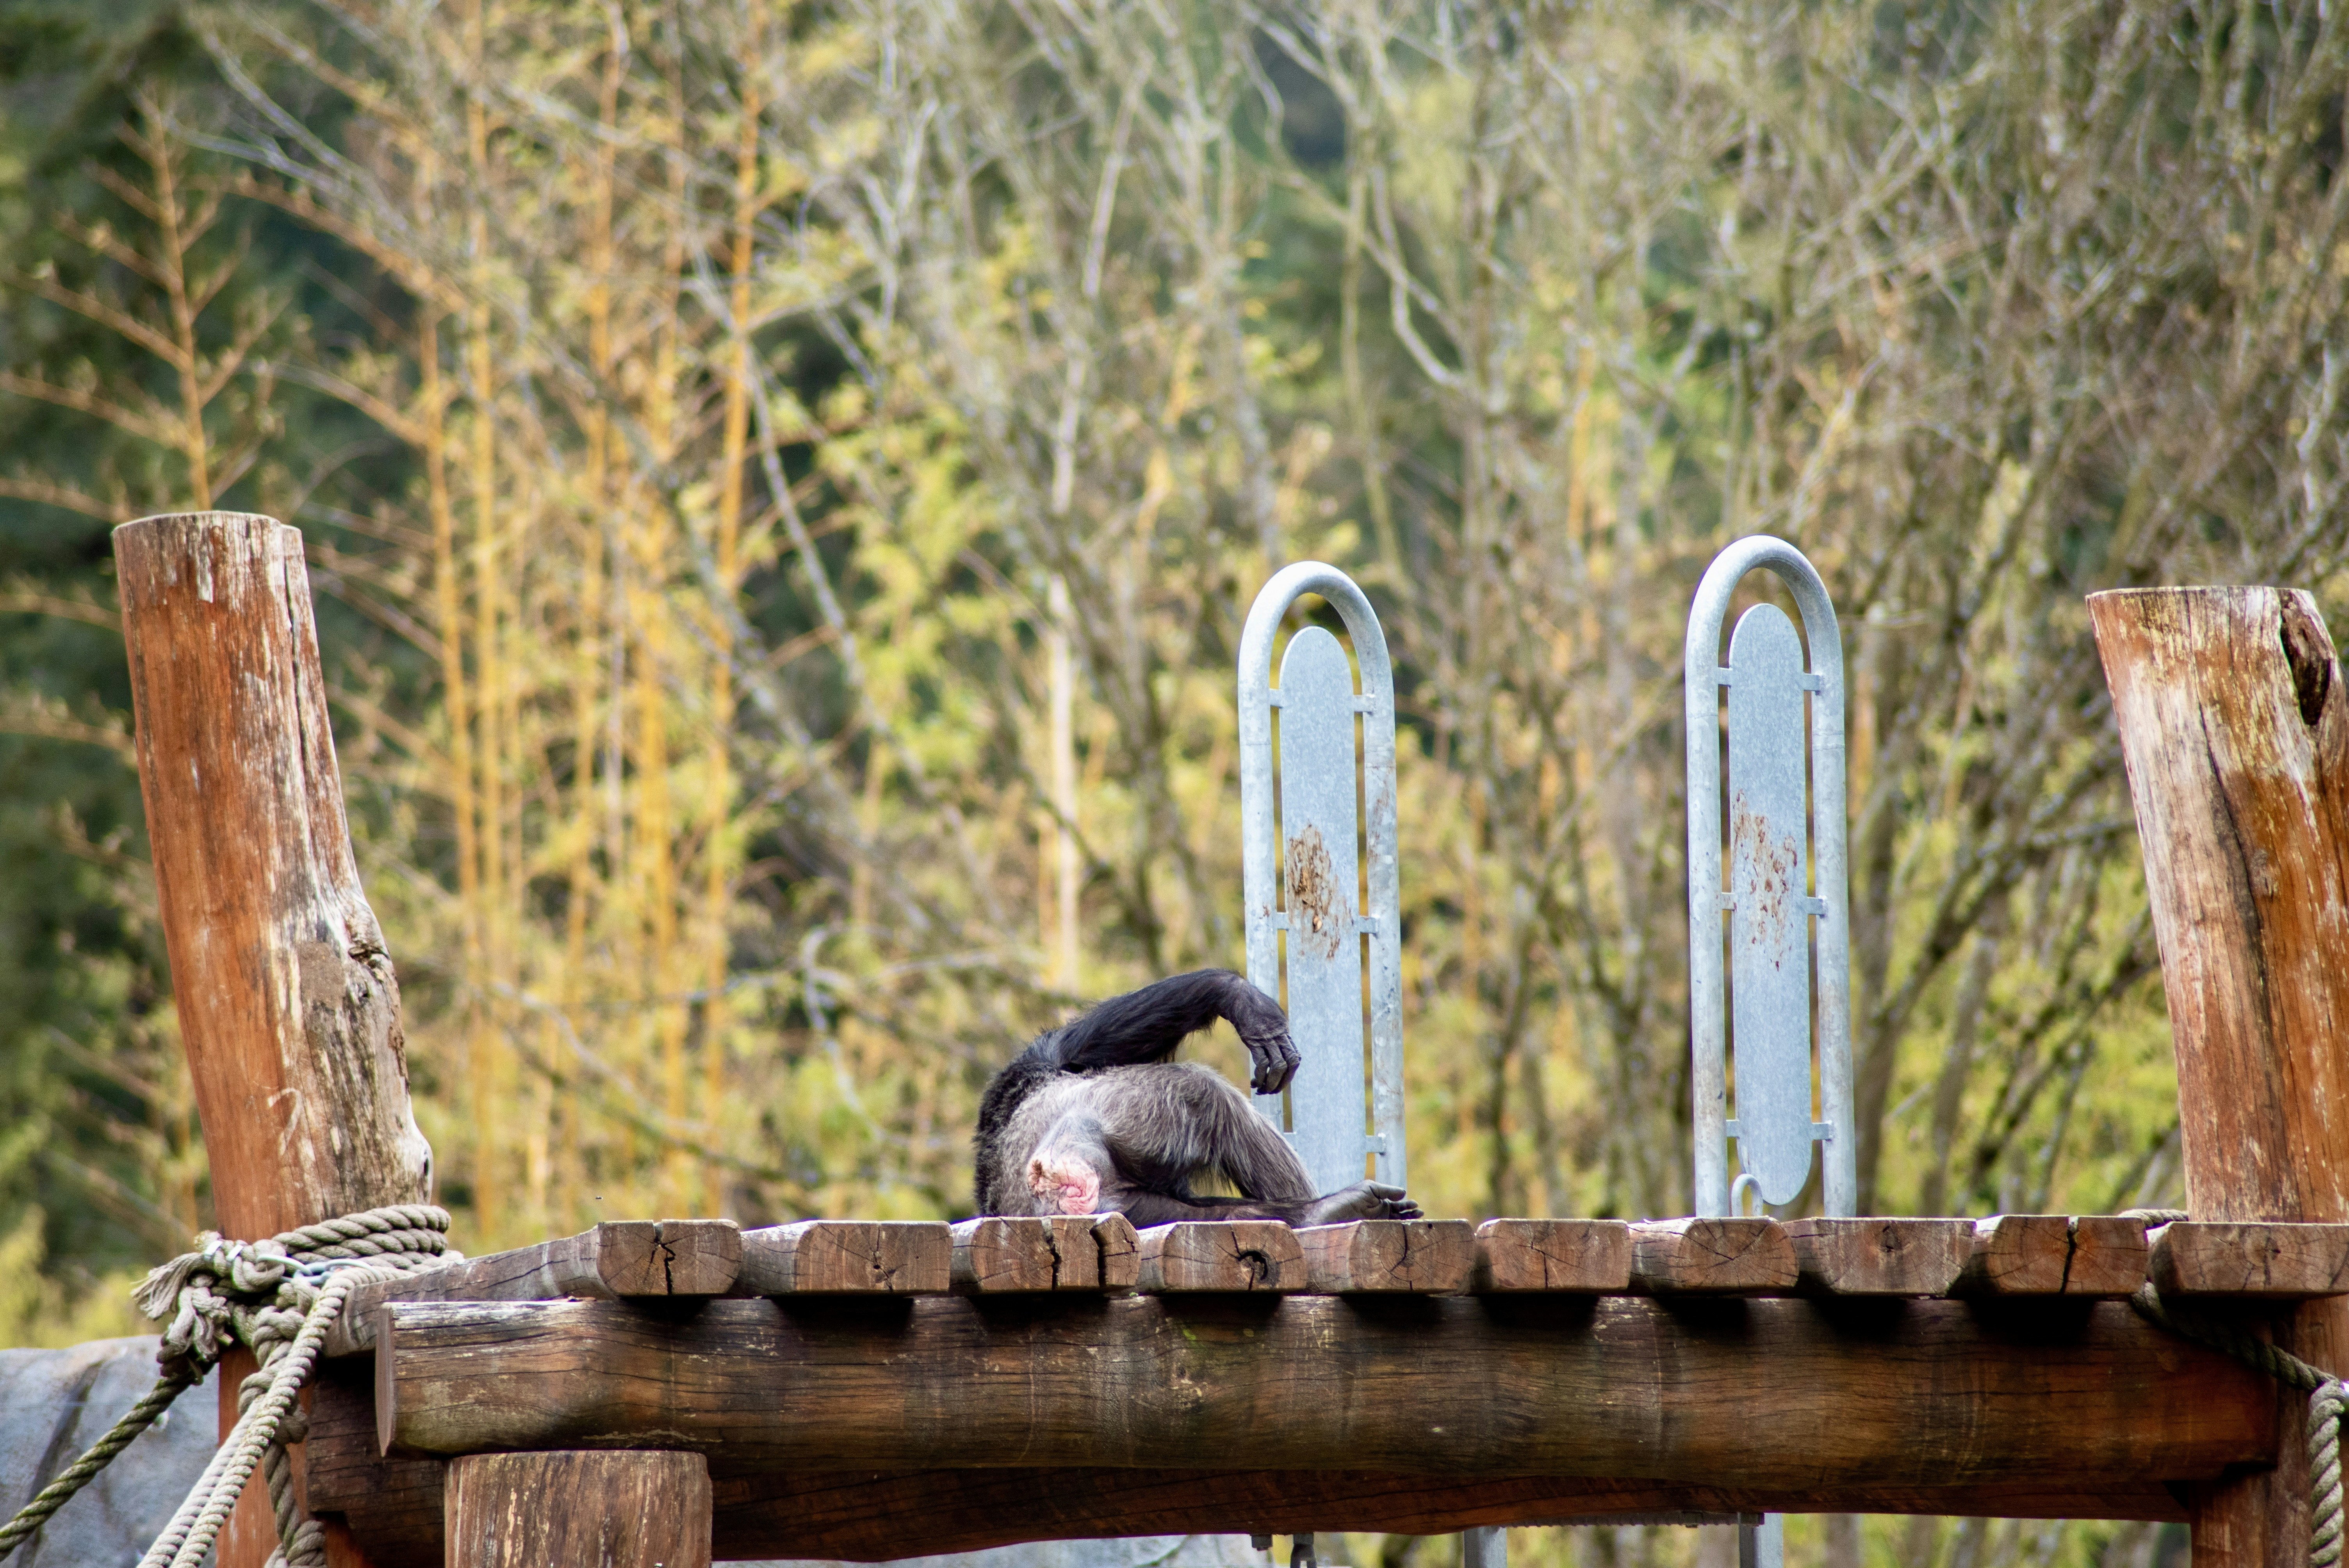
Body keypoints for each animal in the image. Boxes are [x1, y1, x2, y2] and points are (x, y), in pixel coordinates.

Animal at [973, 968, 1421, 1226]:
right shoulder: (1047, 1068)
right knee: (1208, 1097)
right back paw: (1324, 1210)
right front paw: (1244, 1002)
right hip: (1148, 1112)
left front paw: (1239, 999)